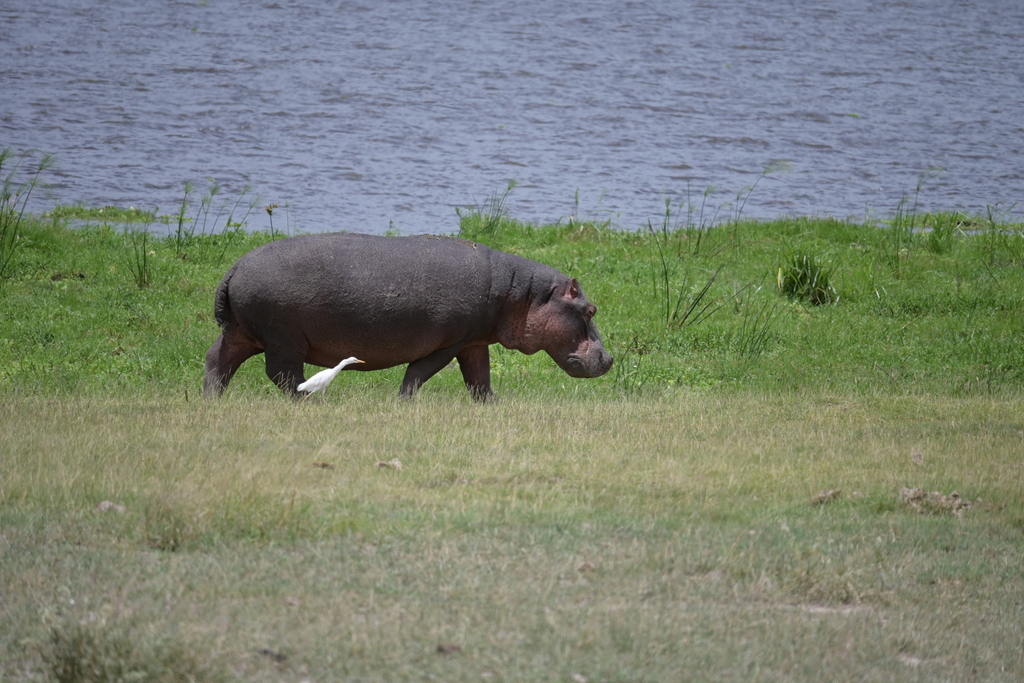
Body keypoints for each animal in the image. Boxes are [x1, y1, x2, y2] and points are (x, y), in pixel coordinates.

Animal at [203, 232, 613, 399]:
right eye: (589, 309)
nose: (609, 359)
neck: (521, 294)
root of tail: (233, 269)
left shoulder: (474, 342)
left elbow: (480, 382)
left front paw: (493, 407)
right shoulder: (450, 343)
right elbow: (417, 375)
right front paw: (402, 403)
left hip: (242, 333)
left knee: (217, 361)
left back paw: (212, 401)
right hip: (283, 340)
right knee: (285, 376)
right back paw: (314, 401)